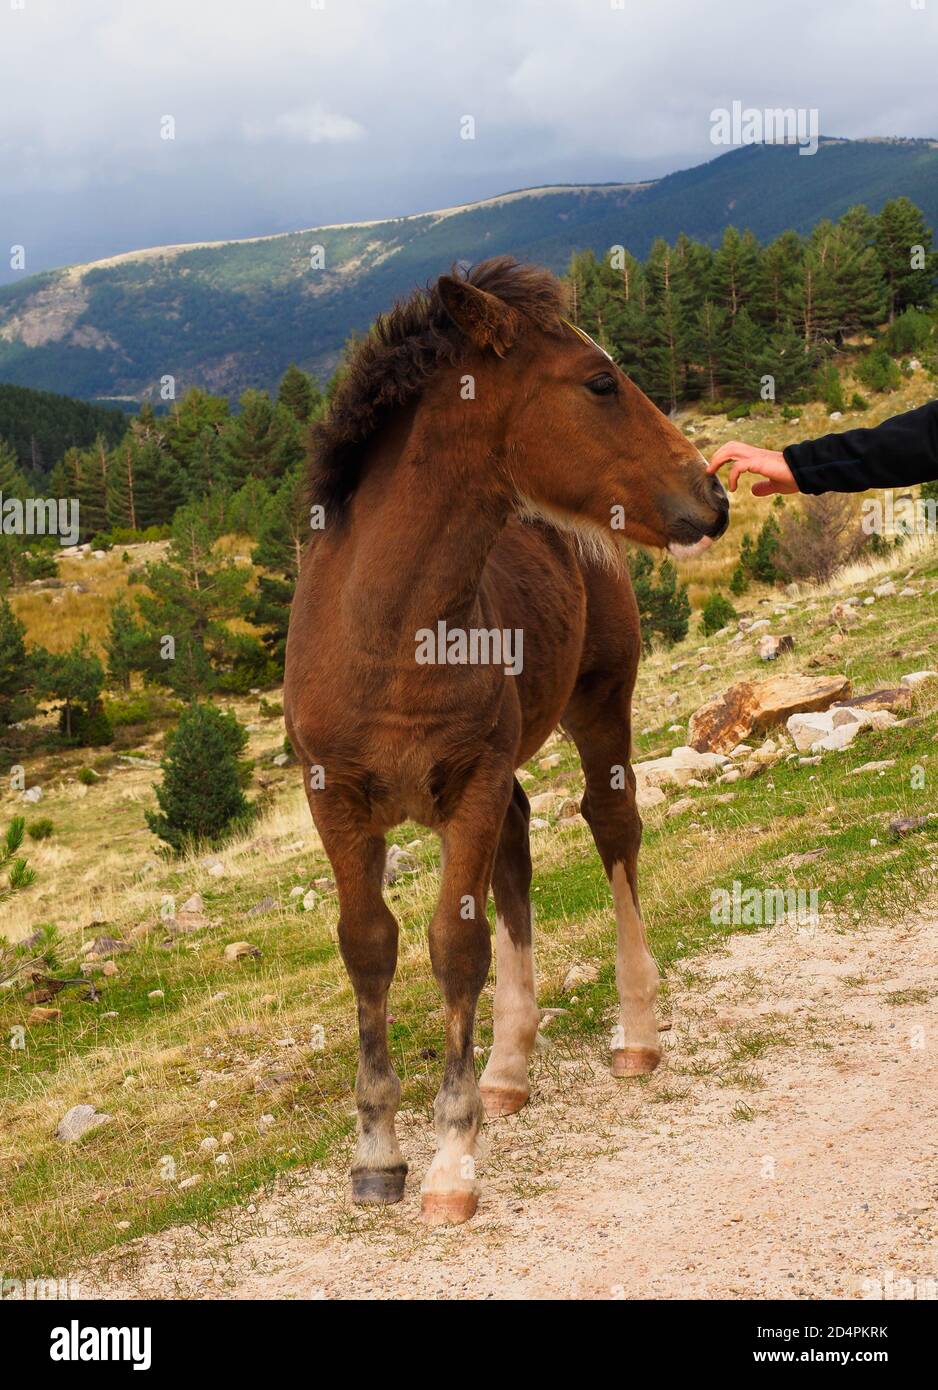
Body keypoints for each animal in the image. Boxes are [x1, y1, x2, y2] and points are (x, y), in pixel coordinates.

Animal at [283, 257, 728, 1225]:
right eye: (599, 382)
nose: (711, 493)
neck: (390, 633)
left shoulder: (473, 783)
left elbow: (457, 948)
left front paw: (452, 1164)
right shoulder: (336, 798)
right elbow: (368, 943)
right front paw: (377, 1153)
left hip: (600, 700)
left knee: (613, 825)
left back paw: (637, 1034)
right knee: (520, 849)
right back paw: (509, 1069)